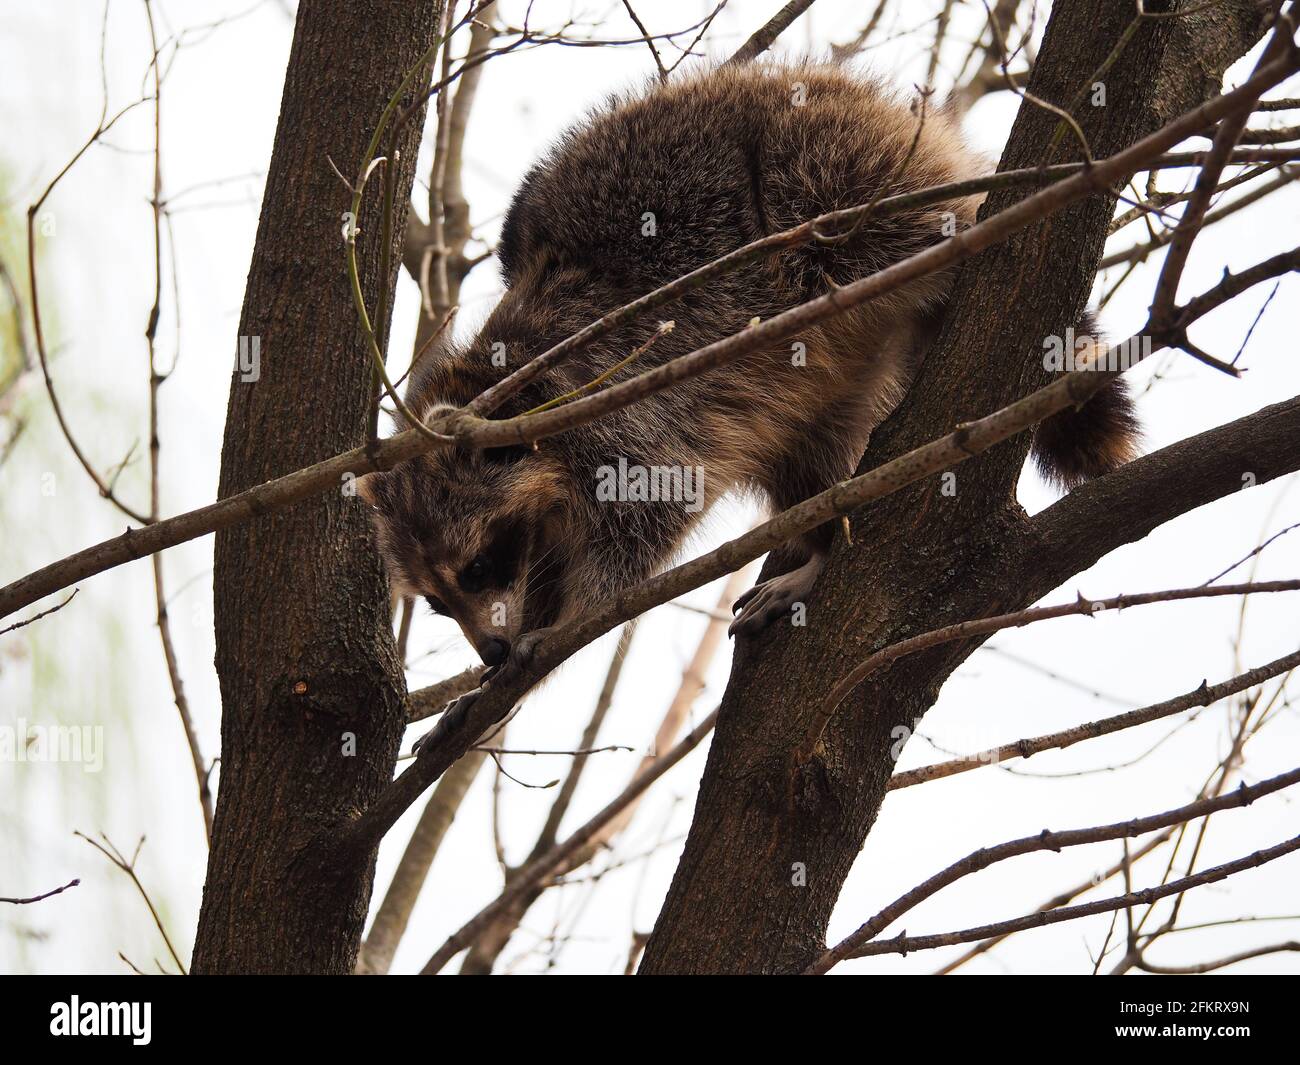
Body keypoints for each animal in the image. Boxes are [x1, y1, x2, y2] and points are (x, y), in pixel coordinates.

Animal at [360, 62, 1138, 688]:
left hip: (836, 174)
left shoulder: (629, 400)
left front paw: (560, 623)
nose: (490, 650)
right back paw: (821, 538)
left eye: (477, 568)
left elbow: (646, 516)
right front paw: (532, 620)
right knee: (811, 455)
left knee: (857, 225)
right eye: (437, 603)